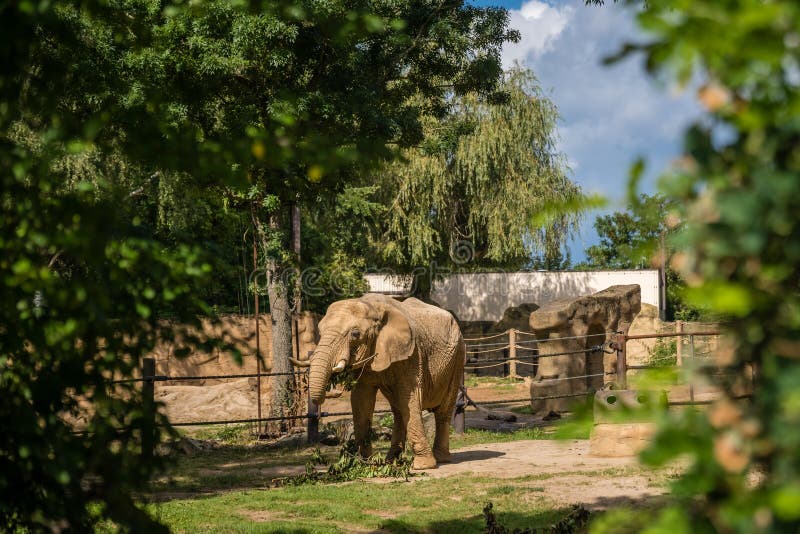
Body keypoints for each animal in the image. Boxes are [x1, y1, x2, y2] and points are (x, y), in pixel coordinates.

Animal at [291, 294, 465, 470]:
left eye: (355, 334)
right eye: (319, 330)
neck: (373, 307)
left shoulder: (413, 354)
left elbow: (410, 398)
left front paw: (423, 466)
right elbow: (361, 400)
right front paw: (366, 464)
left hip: (458, 356)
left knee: (443, 410)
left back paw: (441, 459)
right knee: (399, 410)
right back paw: (392, 461)